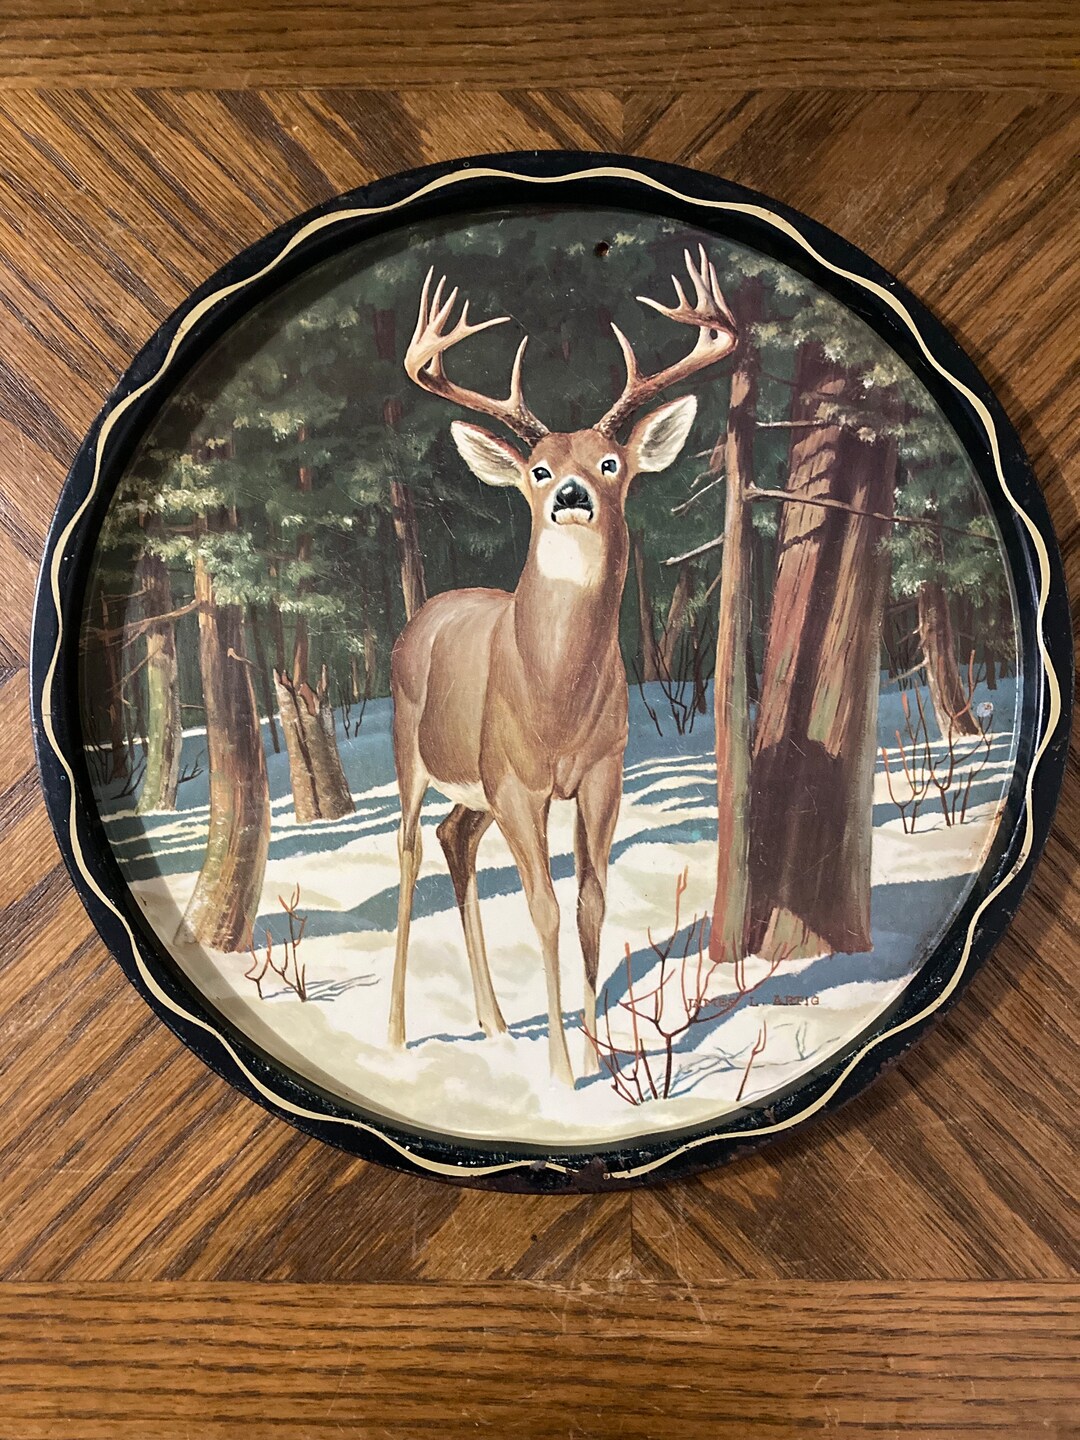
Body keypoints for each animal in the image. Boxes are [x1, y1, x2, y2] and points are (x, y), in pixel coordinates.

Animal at [389, 247, 737, 1084]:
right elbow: (544, 907)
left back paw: (492, 1025)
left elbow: (590, 904)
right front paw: (558, 1072)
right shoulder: (519, 783)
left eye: (610, 461)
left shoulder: (604, 769)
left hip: (475, 789)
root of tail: (423, 616)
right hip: (412, 748)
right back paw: (395, 1034)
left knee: (454, 841)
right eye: (540, 470)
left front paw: (593, 1055)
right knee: (410, 850)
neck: (556, 700)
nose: (573, 495)